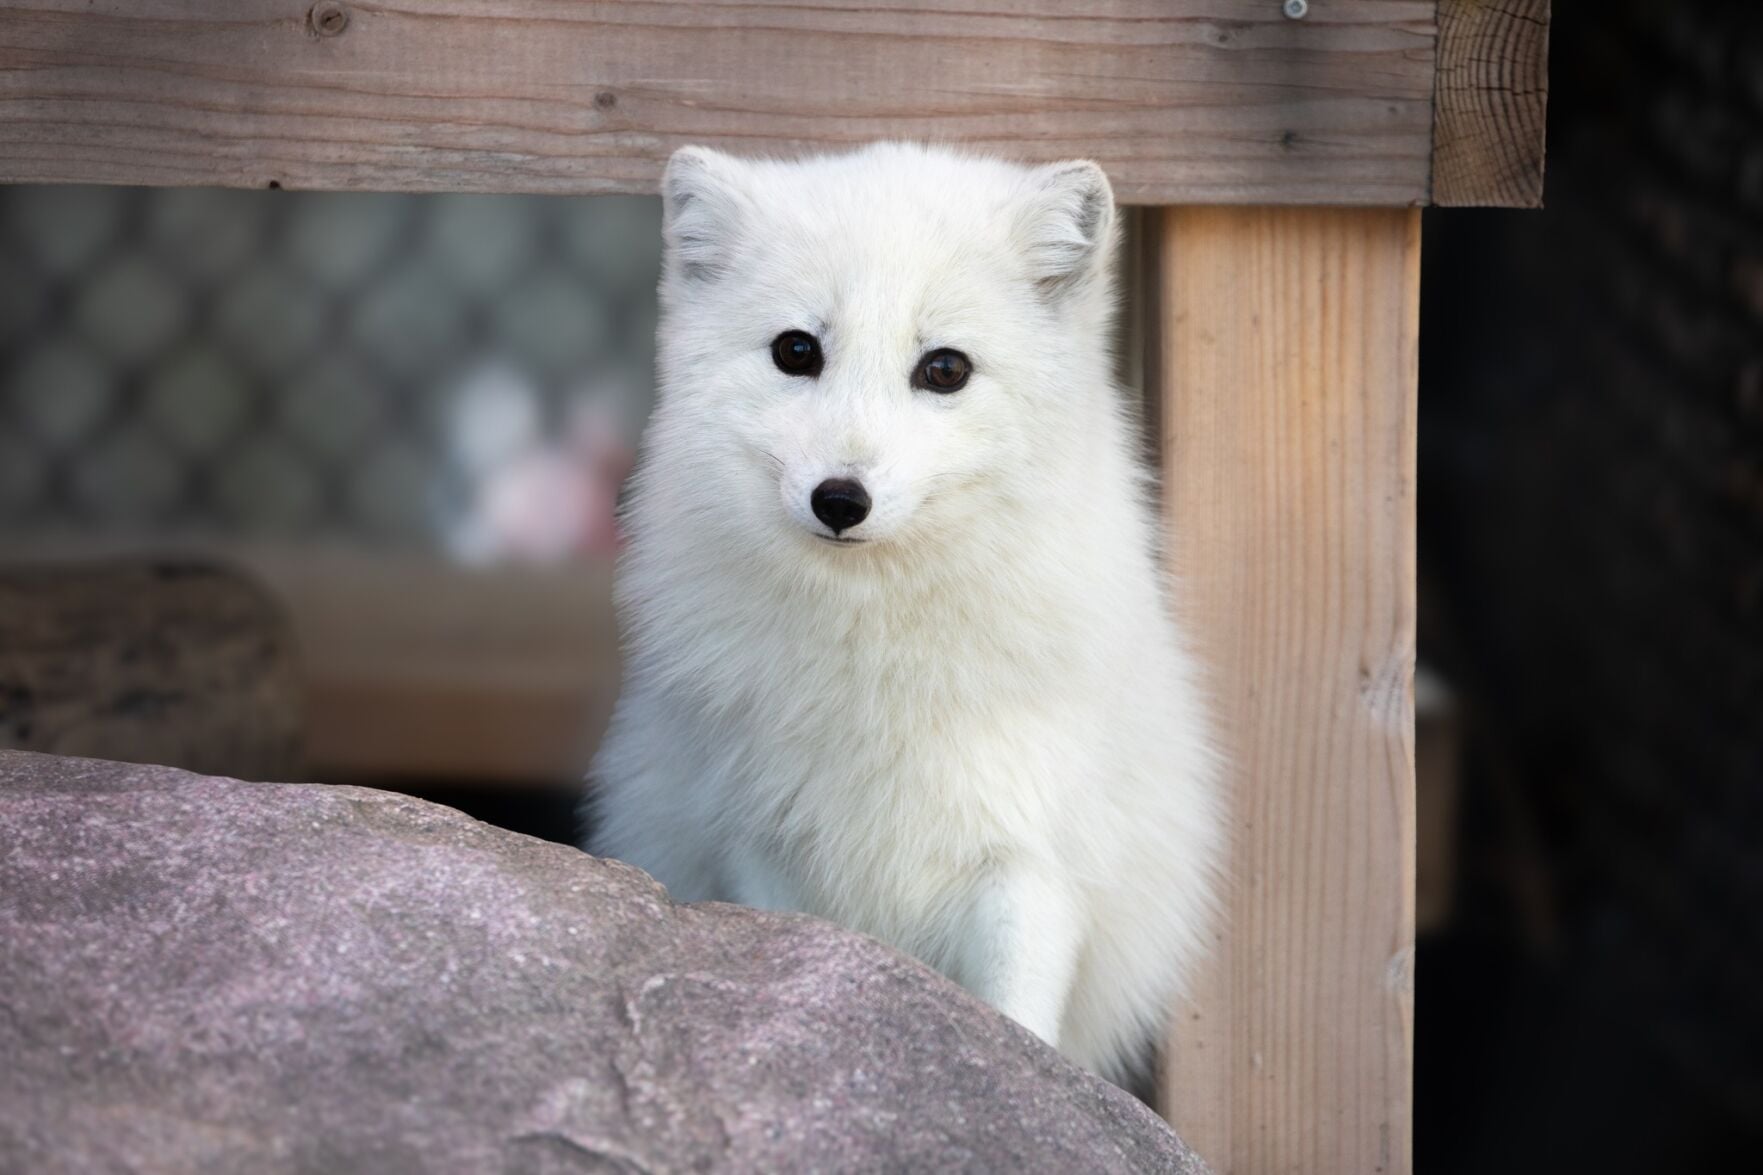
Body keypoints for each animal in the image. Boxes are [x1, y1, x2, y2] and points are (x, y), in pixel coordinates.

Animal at [586, 142, 1223, 1089]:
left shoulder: (1030, 863)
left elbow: (1020, 1027)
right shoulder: (761, 840)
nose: (839, 499)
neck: (874, 653)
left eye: (944, 369)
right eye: (797, 350)